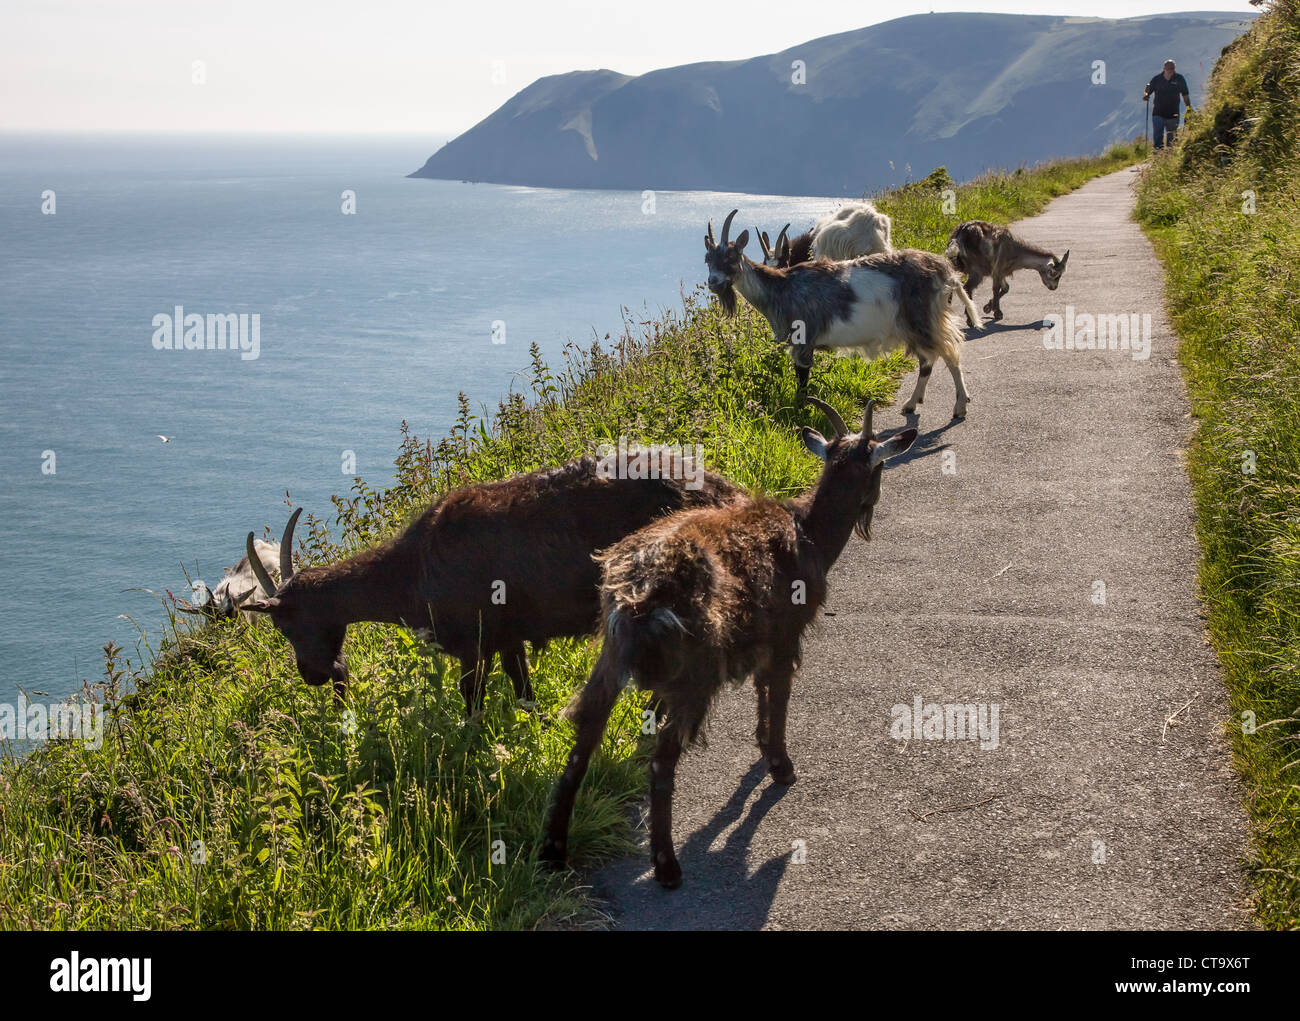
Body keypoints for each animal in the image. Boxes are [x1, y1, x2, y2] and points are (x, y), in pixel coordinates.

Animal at [239, 455, 741, 713]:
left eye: (286, 625)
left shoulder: (473, 644)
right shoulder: (508, 639)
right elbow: (524, 694)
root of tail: (724, 492)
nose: (315, 675)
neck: (410, 571)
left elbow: (472, 705)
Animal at [540, 398, 917, 888]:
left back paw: (552, 852)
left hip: (610, 657)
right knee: (661, 759)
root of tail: (638, 591)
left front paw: (763, 748)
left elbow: (761, 691)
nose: (873, 504)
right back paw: (666, 865)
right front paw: (781, 766)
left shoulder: (762, 639)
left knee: (581, 744)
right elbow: (779, 696)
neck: (811, 533)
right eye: (882, 463)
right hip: (694, 672)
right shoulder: (787, 633)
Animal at [706, 209, 981, 419]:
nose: (713, 282)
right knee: (928, 360)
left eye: (731, 257)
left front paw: (800, 410)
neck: (780, 288)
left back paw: (960, 406)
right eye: (708, 259)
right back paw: (912, 404)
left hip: (924, 319)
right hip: (914, 325)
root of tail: (944, 271)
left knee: (950, 354)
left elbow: (802, 380)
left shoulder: (803, 340)